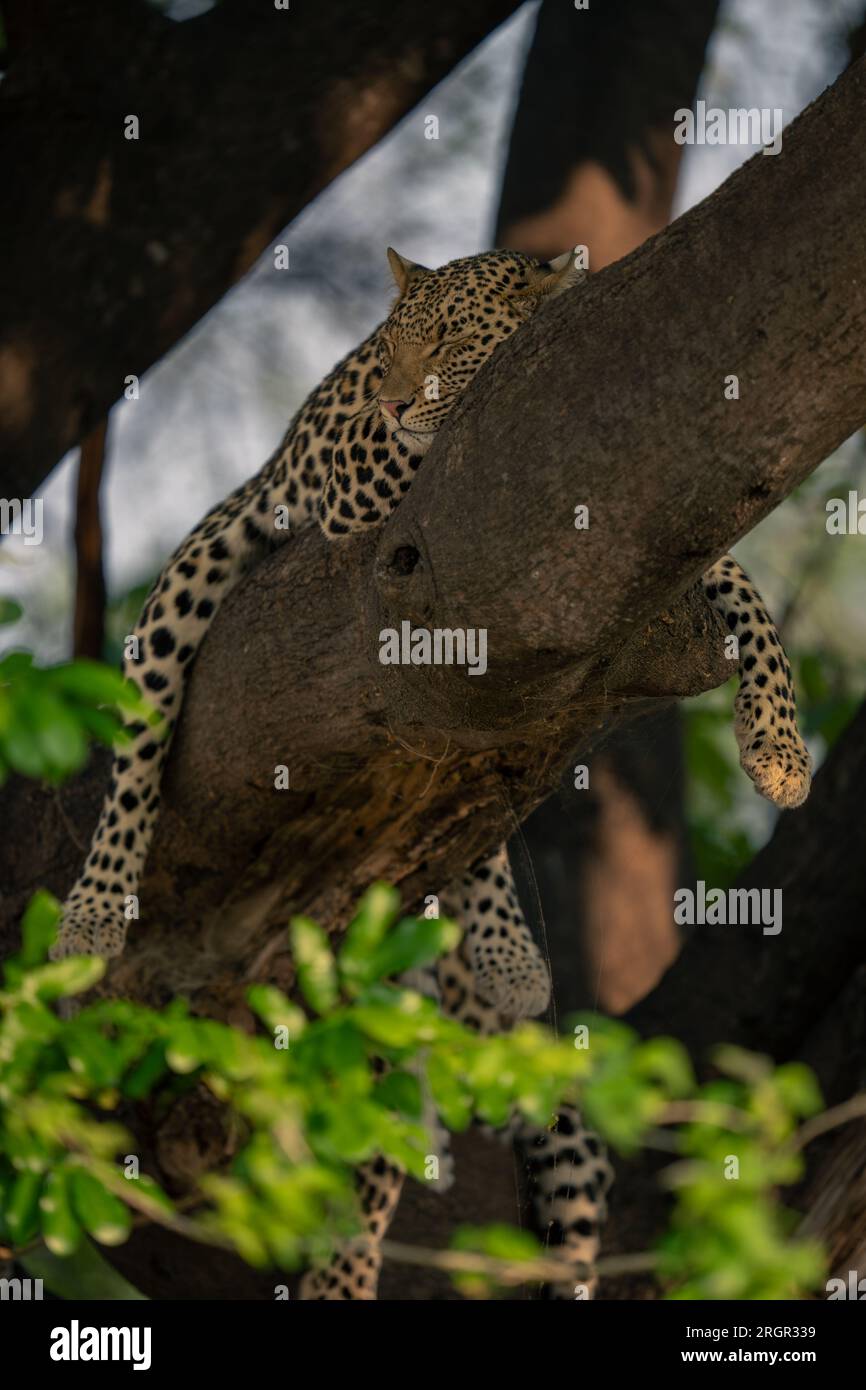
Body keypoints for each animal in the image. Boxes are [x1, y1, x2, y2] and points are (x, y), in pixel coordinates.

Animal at [52, 245, 812, 1299]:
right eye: (390, 351)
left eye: (448, 339)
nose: (393, 398)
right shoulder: (363, 487)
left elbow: (748, 595)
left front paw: (779, 750)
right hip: (203, 586)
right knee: (148, 759)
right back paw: (96, 910)